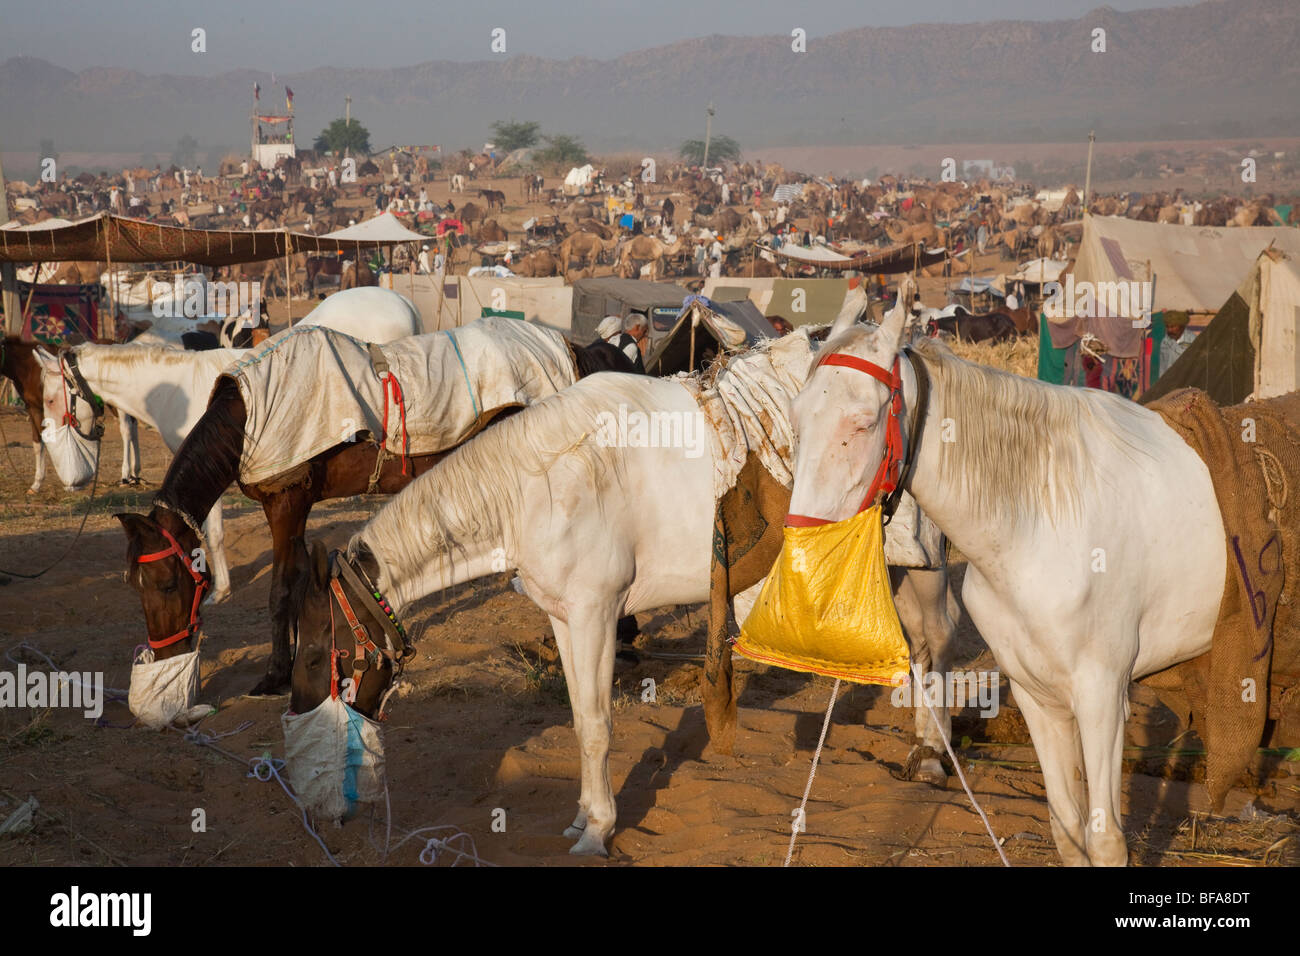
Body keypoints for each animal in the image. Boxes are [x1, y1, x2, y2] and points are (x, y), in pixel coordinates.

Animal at [113, 322, 639, 695]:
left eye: (167, 582)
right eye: (134, 585)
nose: (168, 655)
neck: (250, 414)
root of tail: (575, 349)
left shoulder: (288, 501)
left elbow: (280, 591)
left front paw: (274, 675)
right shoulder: (290, 508)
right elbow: (300, 583)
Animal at [287, 328, 958, 857]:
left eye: (321, 657)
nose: (314, 809)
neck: (536, 486)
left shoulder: (597, 613)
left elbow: (598, 724)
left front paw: (598, 830)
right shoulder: (565, 617)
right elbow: (580, 715)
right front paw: (583, 817)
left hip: (921, 564)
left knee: (934, 645)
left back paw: (931, 757)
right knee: (917, 649)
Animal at [785, 277, 1227, 866]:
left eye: (861, 424)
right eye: (796, 417)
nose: (802, 550)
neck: (1038, 520)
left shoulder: (1103, 696)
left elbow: (1105, 838)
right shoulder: (1038, 695)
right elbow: (1067, 830)